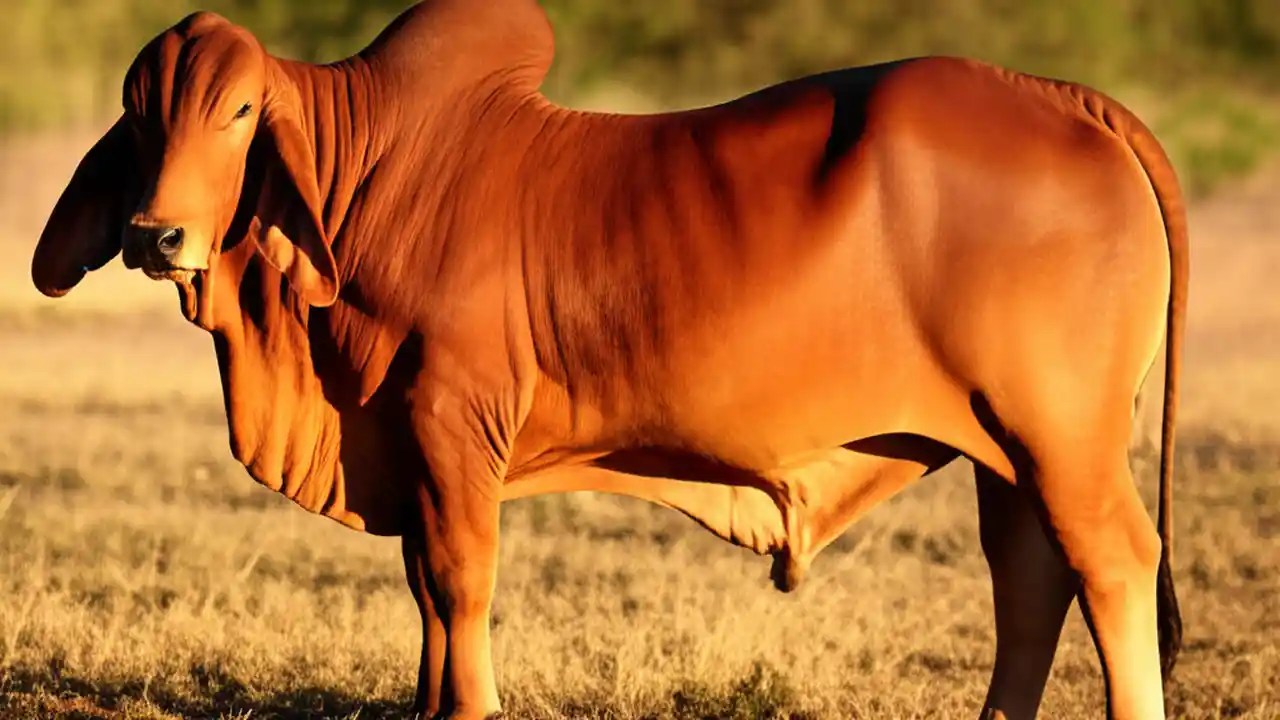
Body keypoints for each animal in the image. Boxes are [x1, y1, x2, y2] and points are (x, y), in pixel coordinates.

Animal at [31, 1, 1187, 718]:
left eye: (237, 111)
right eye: (138, 113)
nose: (155, 235)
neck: (369, 181)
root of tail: (1063, 95)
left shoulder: (452, 420)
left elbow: (458, 580)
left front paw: (471, 707)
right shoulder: (408, 442)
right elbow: (421, 585)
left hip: (1062, 437)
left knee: (1112, 565)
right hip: (1009, 449)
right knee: (1029, 576)